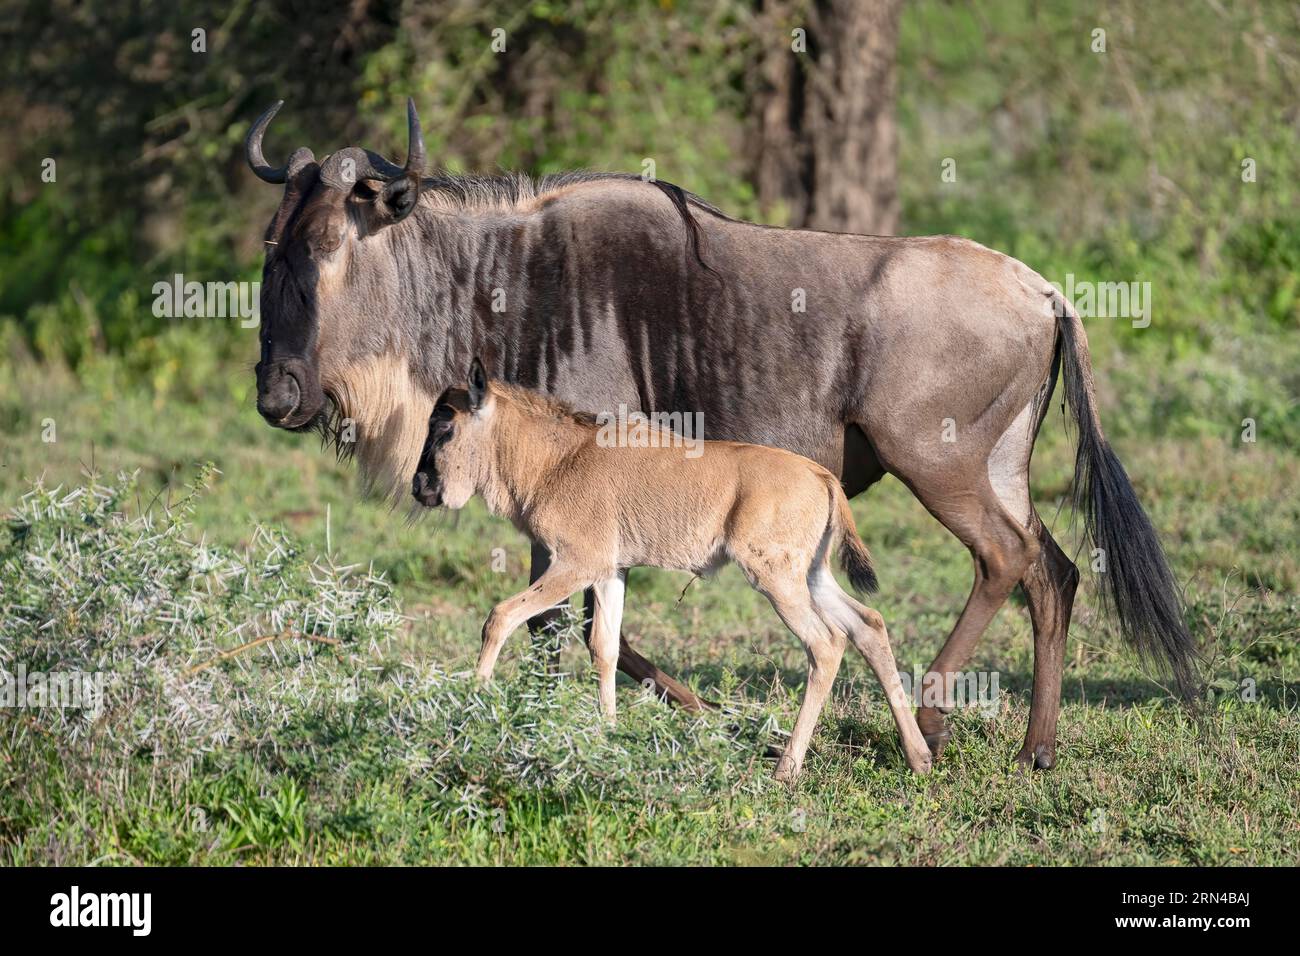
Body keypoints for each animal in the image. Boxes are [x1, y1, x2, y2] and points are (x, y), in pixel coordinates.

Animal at [411, 359, 933, 783]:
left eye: (446, 427)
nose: (421, 488)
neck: (557, 459)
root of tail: (823, 477)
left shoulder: (576, 563)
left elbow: (500, 615)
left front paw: (471, 707)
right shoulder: (611, 572)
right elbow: (604, 648)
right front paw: (607, 733)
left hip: (774, 579)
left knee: (825, 644)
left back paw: (787, 767)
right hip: (811, 577)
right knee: (868, 624)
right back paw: (919, 757)